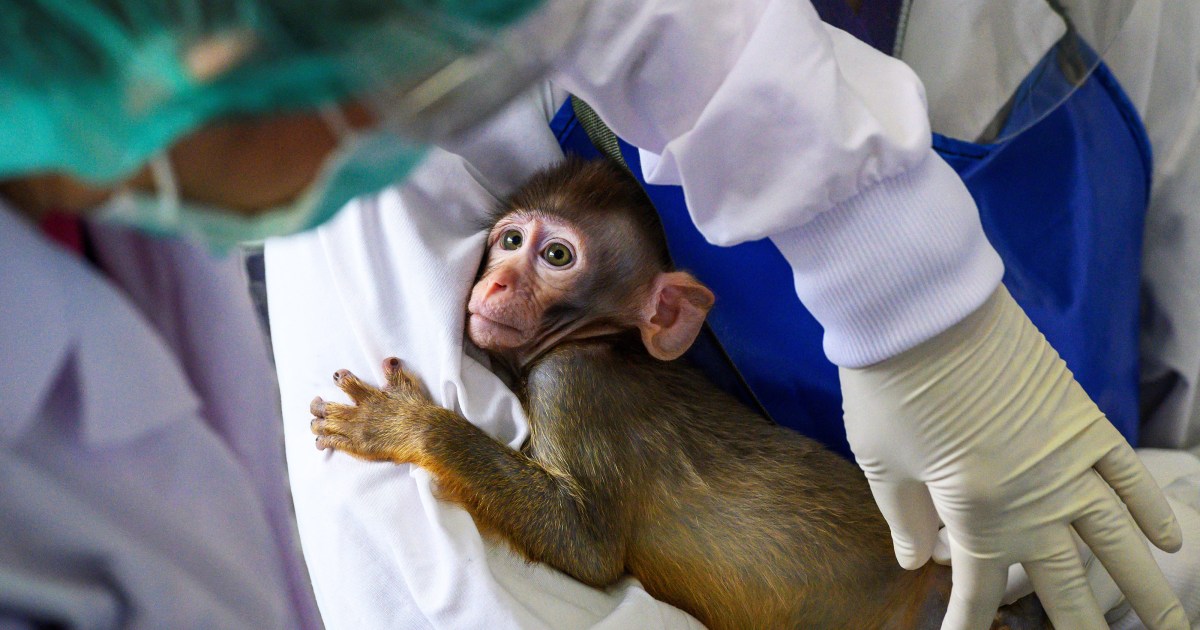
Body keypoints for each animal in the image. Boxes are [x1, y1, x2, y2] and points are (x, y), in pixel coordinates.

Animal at [309, 158, 1047, 629]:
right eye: (510, 239)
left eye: (555, 256)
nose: (494, 283)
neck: (607, 341)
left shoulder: (570, 384)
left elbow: (587, 546)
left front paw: (404, 425)